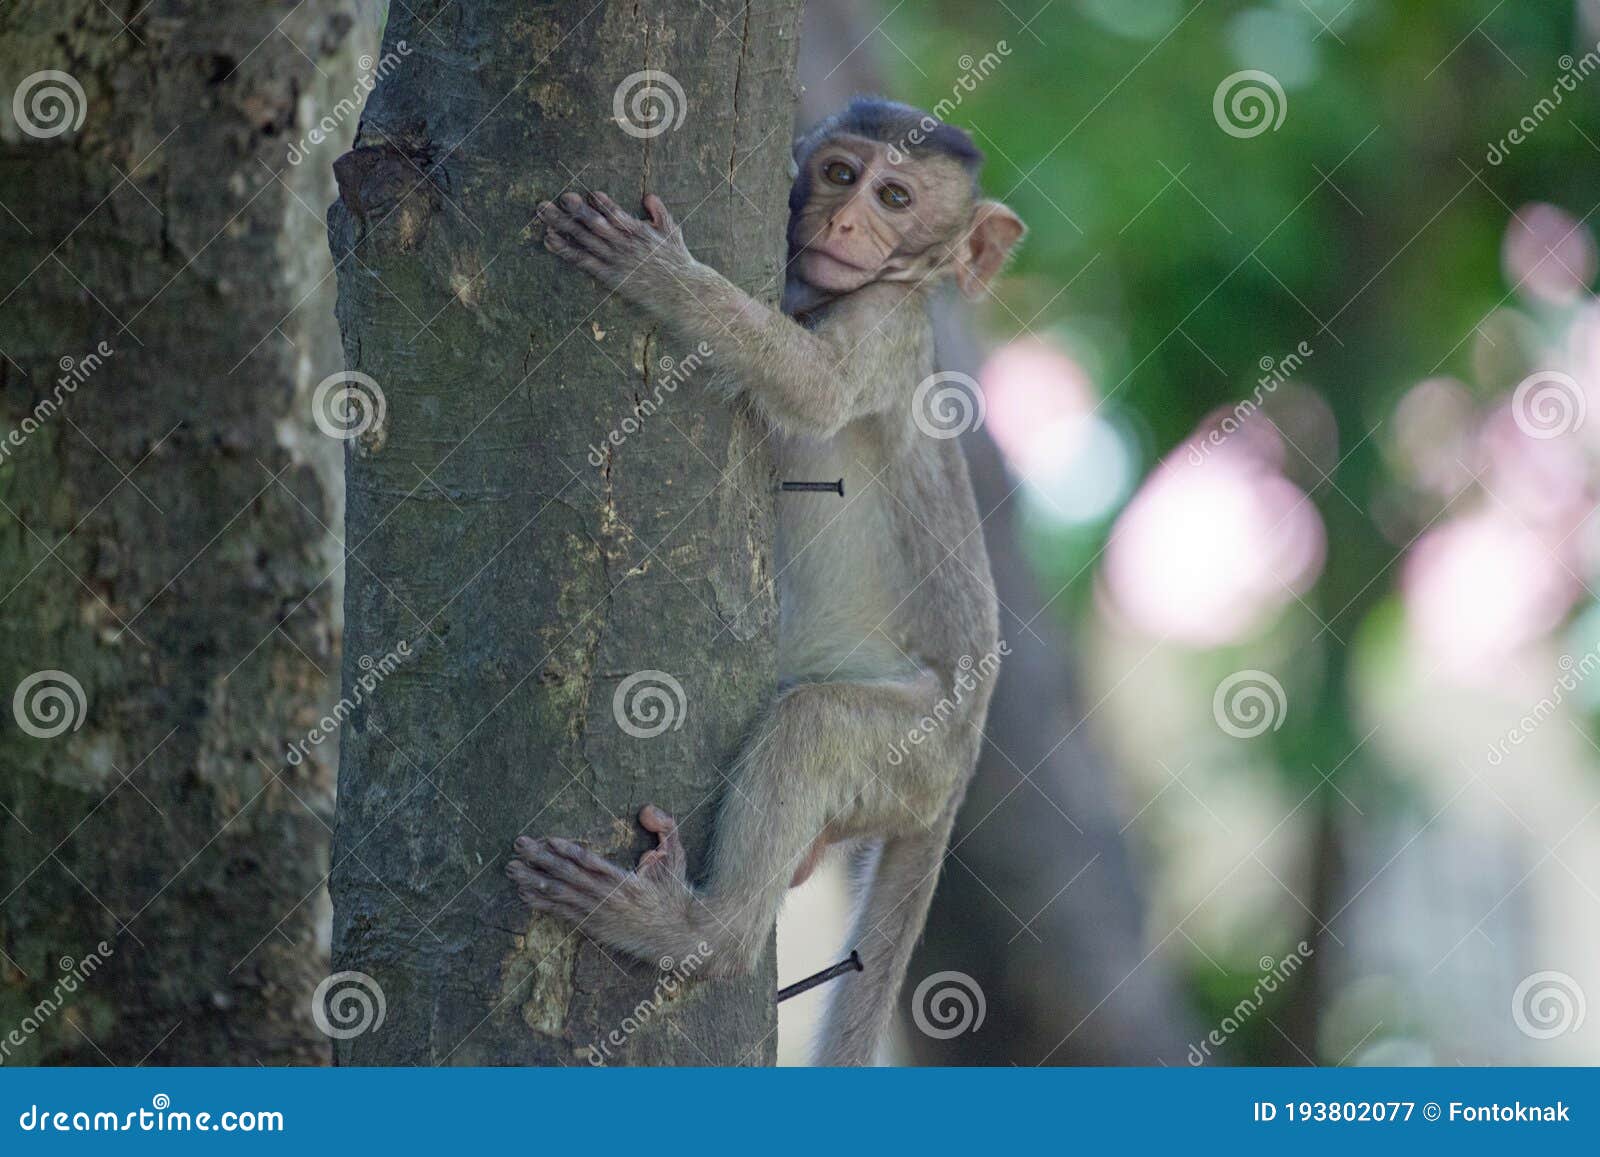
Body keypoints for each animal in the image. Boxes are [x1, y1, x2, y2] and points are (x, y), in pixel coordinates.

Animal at [507, 98, 1025, 1065]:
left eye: (895, 196)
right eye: (839, 173)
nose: (846, 222)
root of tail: (960, 775)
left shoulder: (889, 321)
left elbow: (817, 390)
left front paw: (660, 272)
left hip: (919, 748)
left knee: (814, 722)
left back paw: (698, 933)